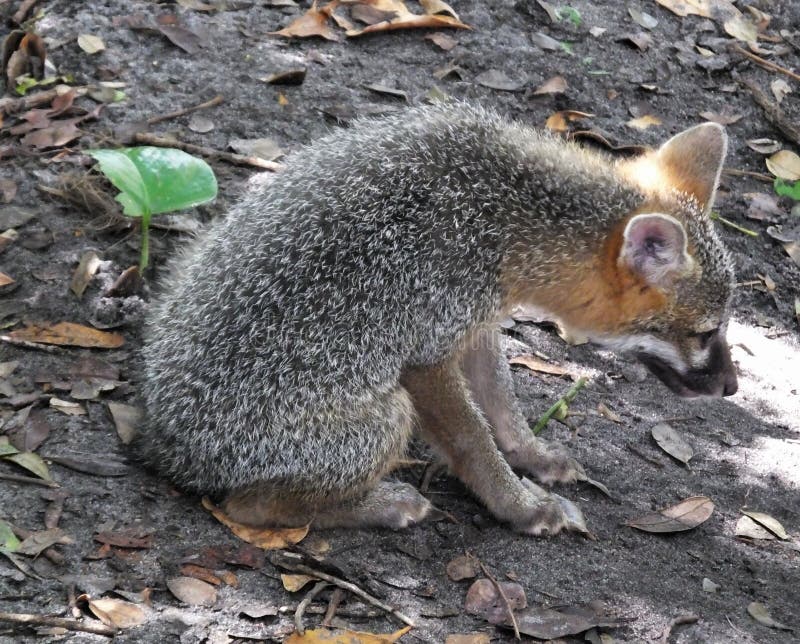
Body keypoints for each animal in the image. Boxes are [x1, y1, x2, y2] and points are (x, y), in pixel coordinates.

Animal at [136, 102, 737, 536]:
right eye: (706, 332)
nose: (732, 388)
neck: (510, 212)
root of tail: (165, 448)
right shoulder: (426, 355)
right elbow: (473, 439)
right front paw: (522, 507)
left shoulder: (475, 325)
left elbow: (502, 404)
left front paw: (533, 458)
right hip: (388, 416)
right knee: (248, 509)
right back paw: (382, 505)